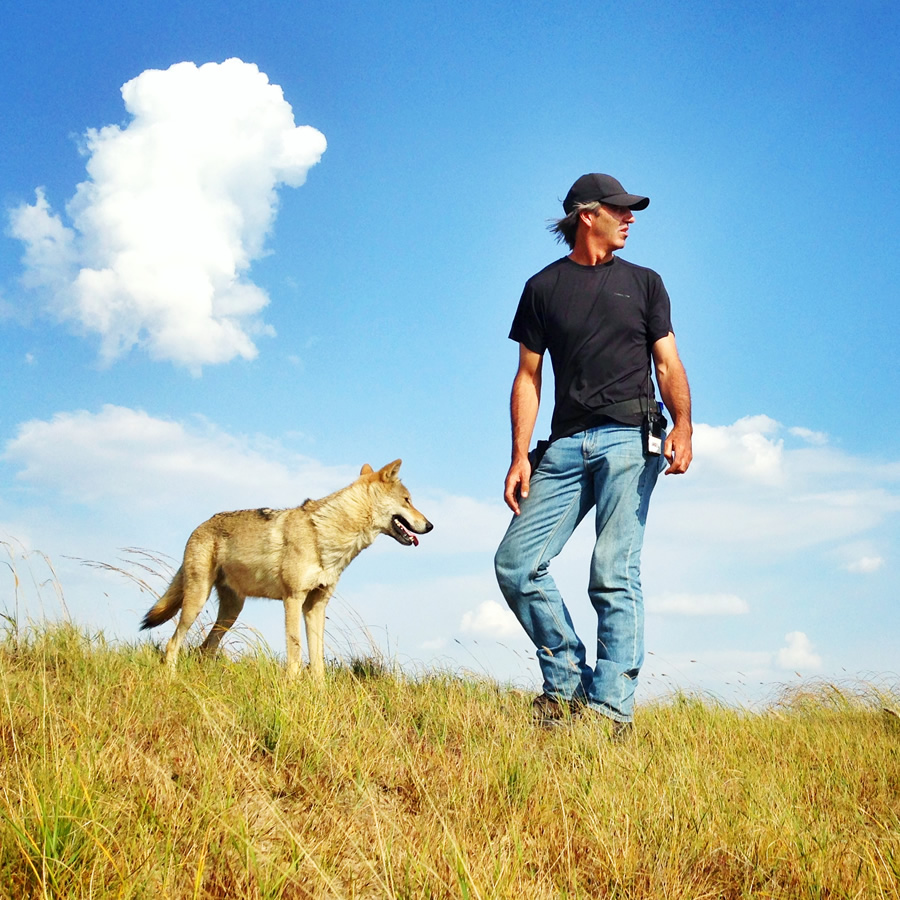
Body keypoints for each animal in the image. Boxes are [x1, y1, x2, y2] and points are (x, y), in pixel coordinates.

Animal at [141, 459, 432, 679]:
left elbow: (318, 660)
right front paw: (292, 687)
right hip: (196, 602)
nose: (430, 525)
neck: (328, 537)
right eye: (407, 500)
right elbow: (295, 650)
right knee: (173, 643)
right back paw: (171, 679)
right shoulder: (293, 599)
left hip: (231, 612)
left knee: (204, 649)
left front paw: (319, 693)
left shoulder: (316, 606)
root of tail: (200, 525)